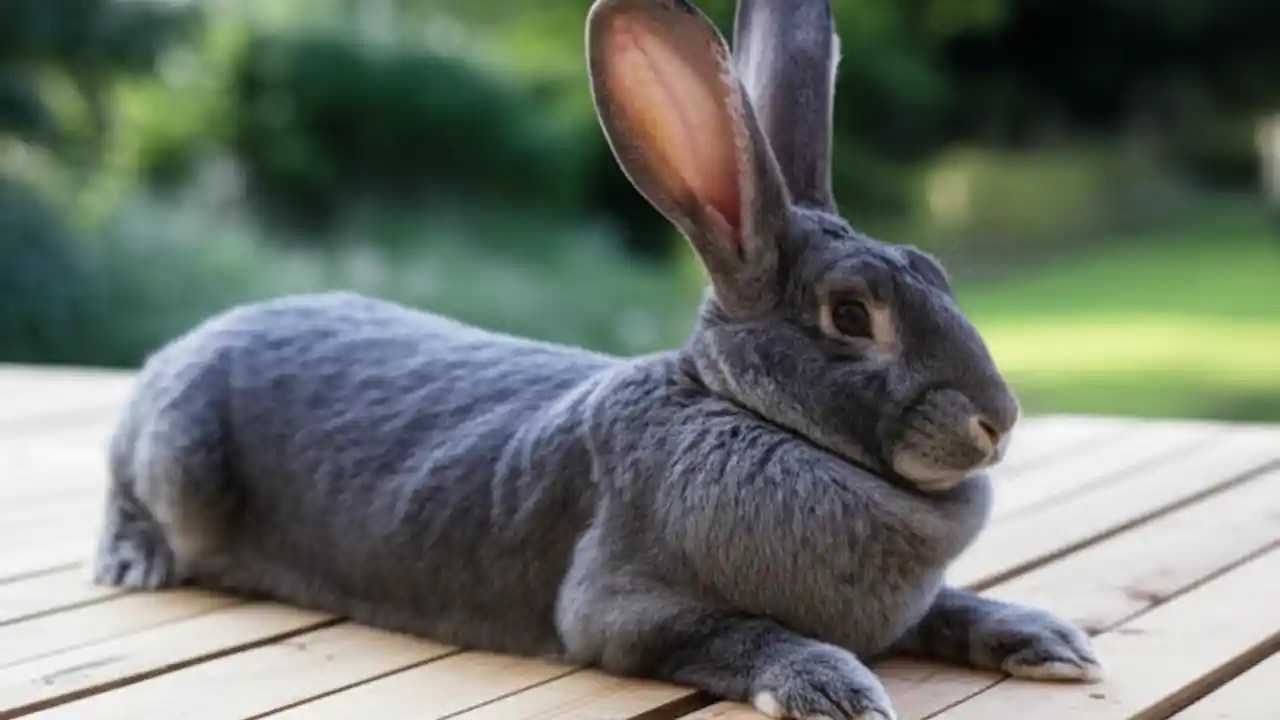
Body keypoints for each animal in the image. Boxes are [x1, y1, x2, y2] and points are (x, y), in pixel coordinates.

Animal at [93, 0, 1101, 717]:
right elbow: (738, 637)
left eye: (937, 274)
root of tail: (187, 345)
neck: (745, 413)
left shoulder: (912, 603)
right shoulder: (622, 610)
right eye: (851, 315)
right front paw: (832, 686)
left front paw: (1048, 641)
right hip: (178, 461)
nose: (998, 421)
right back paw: (132, 564)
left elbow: (950, 605)